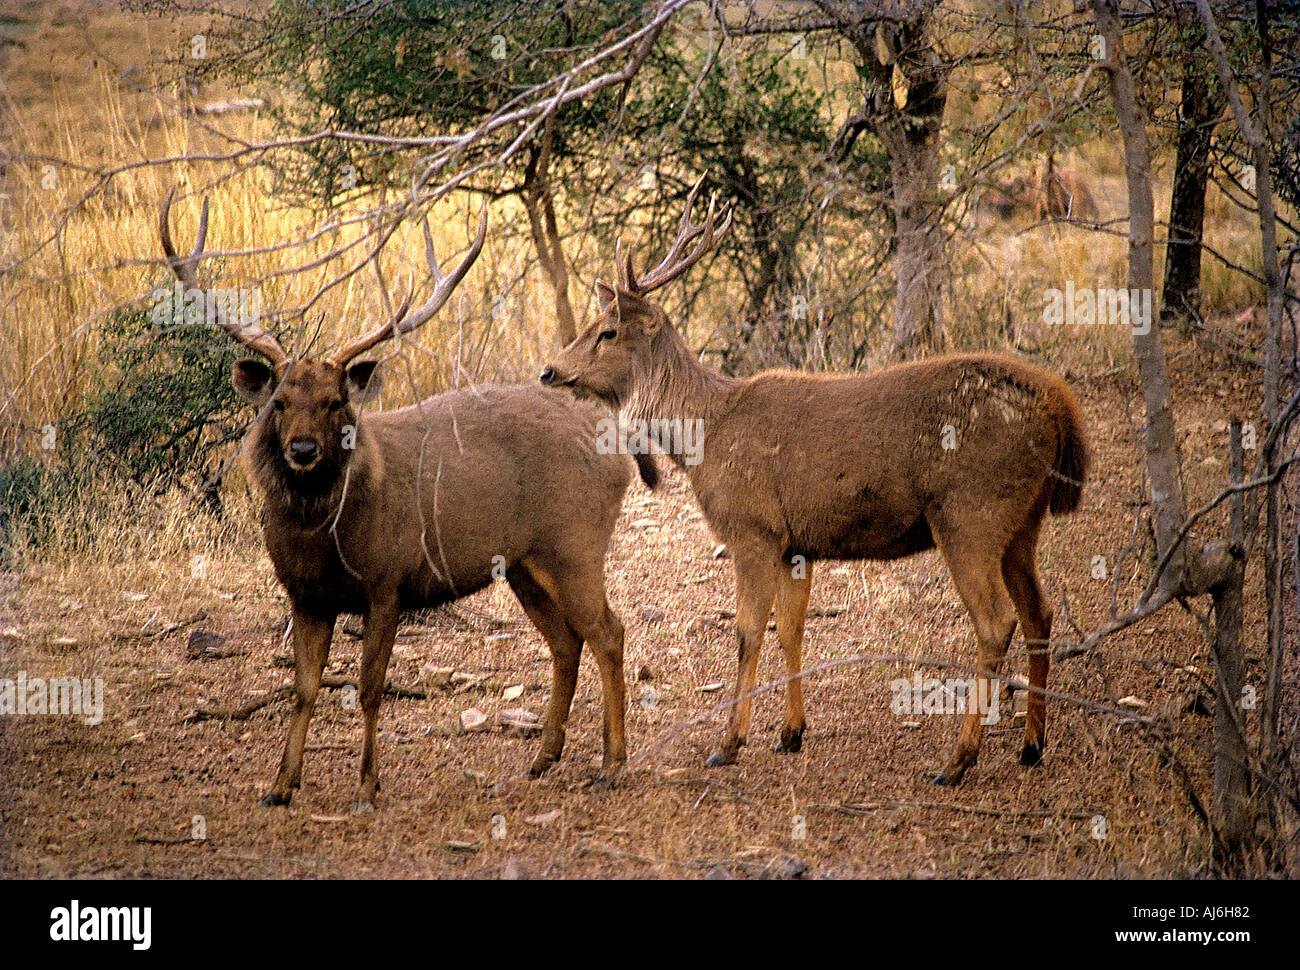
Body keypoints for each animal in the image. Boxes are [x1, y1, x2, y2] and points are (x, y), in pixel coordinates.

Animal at [159, 188, 654, 811]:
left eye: (335, 401)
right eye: (279, 401)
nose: (302, 449)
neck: (325, 538)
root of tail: (617, 450)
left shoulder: (387, 580)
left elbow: (370, 688)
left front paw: (367, 786)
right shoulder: (306, 597)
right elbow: (303, 689)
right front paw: (280, 785)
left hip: (576, 542)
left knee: (608, 632)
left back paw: (612, 763)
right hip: (524, 562)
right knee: (567, 642)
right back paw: (542, 758)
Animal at [541, 178, 1090, 785]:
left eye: (606, 331)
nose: (549, 370)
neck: (706, 435)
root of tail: (1059, 407)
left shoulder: (752, 529)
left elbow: (747, 631)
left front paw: (728, 743)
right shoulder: (795, 544)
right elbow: (791, 629)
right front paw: (790, 733)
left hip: (969, 513)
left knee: (996, 621)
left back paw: (958, 760)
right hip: (1022, 522)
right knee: (1039, 613)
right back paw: (1032, 745)